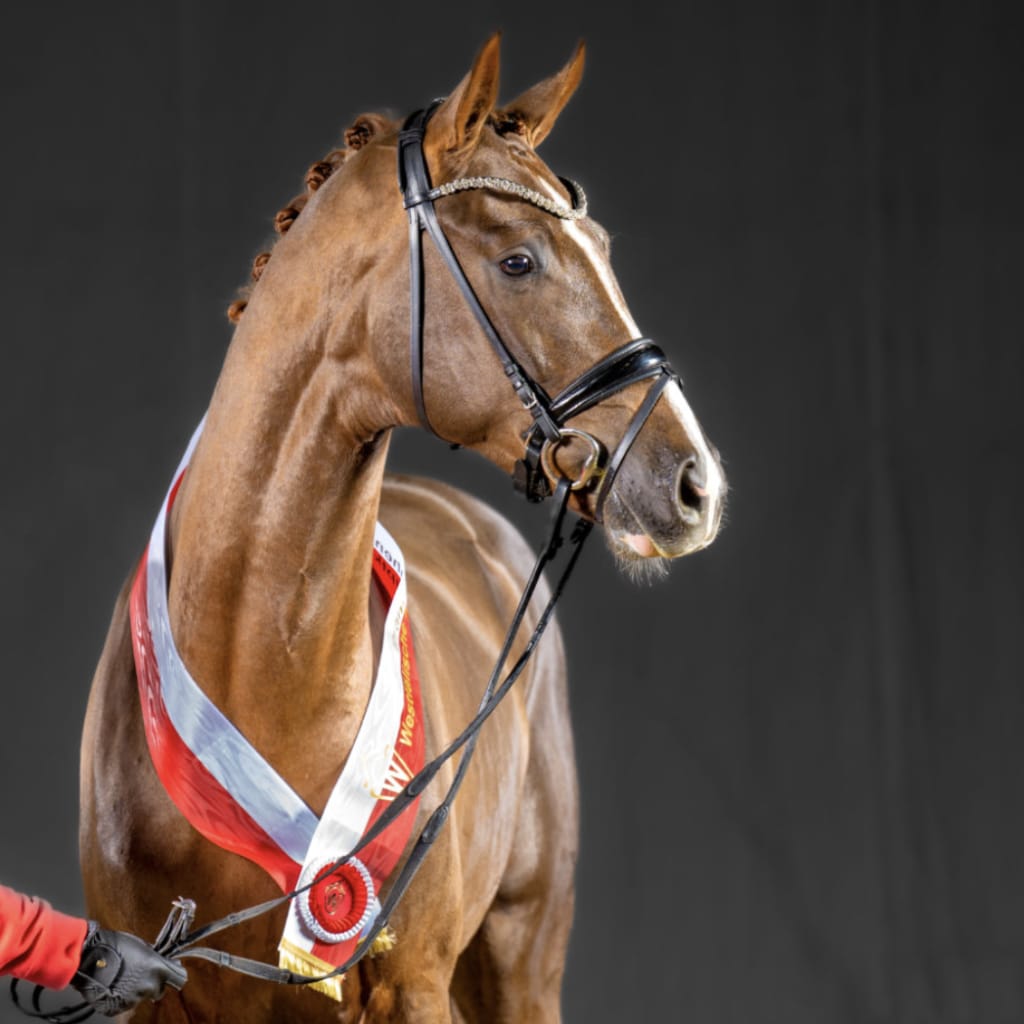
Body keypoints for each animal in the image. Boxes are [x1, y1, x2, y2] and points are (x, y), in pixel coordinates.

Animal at [78, 35, 725, 1023]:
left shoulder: (412, 987)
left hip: (520, 959)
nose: (694, 482)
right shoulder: (144, 992)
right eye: (520, 262)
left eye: (604, 249)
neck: (256, 667)